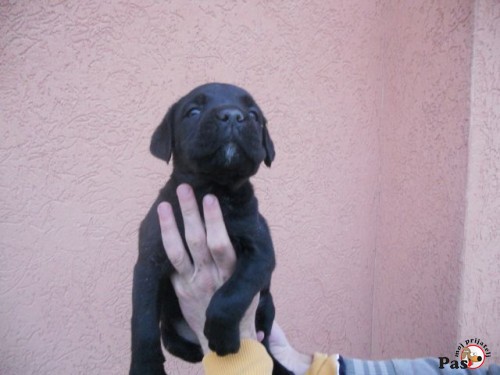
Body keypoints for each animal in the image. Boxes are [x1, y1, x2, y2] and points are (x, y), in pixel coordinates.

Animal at [130, 83, 292, 374]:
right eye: (193, 111)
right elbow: (143, 321)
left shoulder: (260, 252)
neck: (212, 189)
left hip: (267, 304)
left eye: (254, 115)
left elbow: (232, 293)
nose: (233, 116)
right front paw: (145, 366)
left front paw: (222, 336)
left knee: (264, 342)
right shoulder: (149, 261)